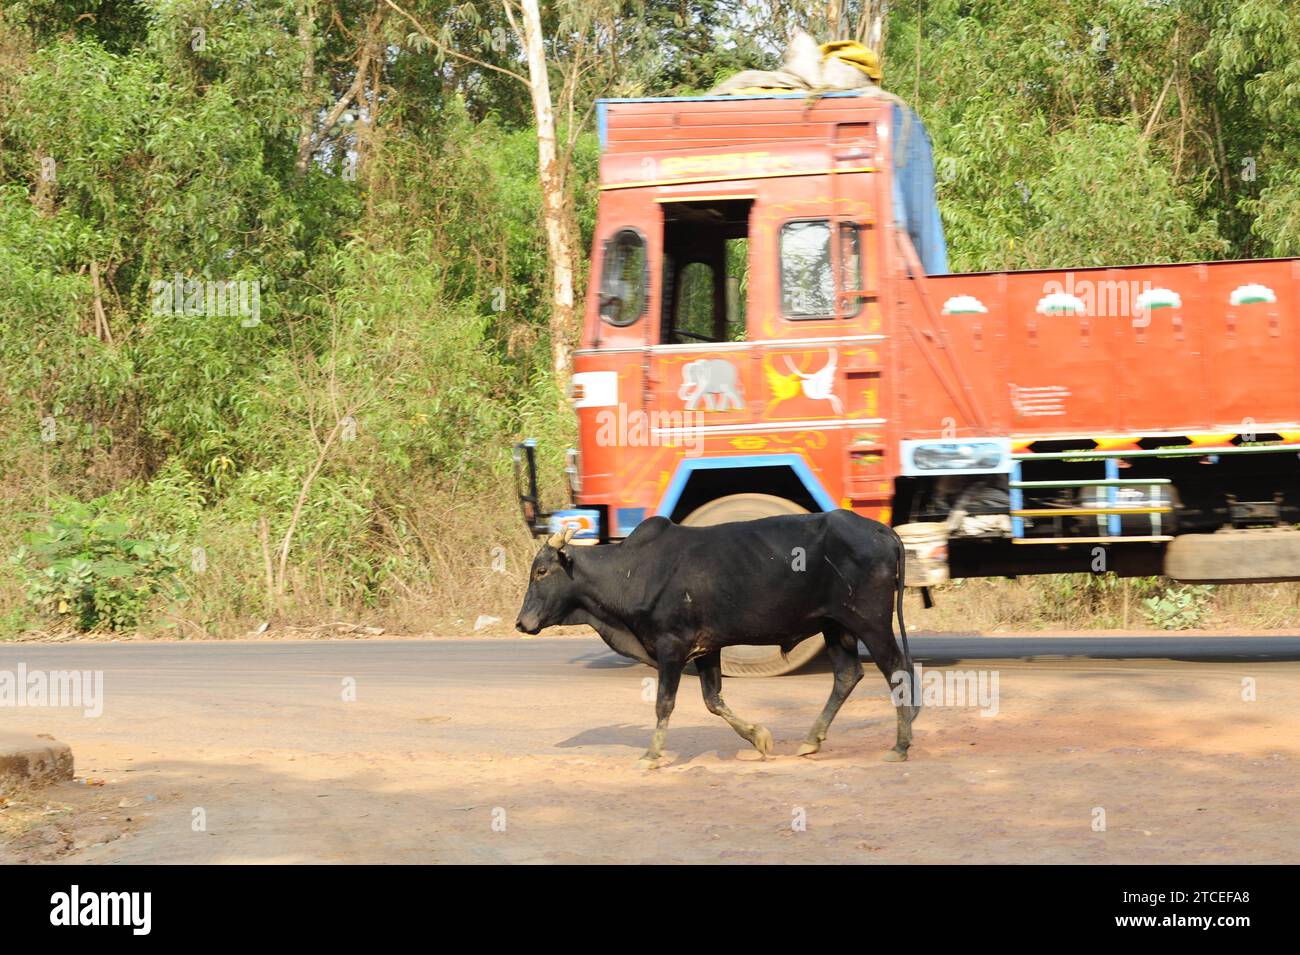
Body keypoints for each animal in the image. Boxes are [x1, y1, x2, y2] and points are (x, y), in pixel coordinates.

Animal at [515, 509, 919, 769]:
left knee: (896, 670)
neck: (632, 571)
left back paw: (900, 746)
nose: (521, 623)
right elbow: (714, 701)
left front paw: (651, 756)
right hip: (834, 626)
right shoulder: (706, 649)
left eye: (542, 571)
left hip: (870, 622)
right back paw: (811, 740)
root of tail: (882, 531)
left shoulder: (672, 646)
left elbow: (664, 704)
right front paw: (759, 737)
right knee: (848, 674)